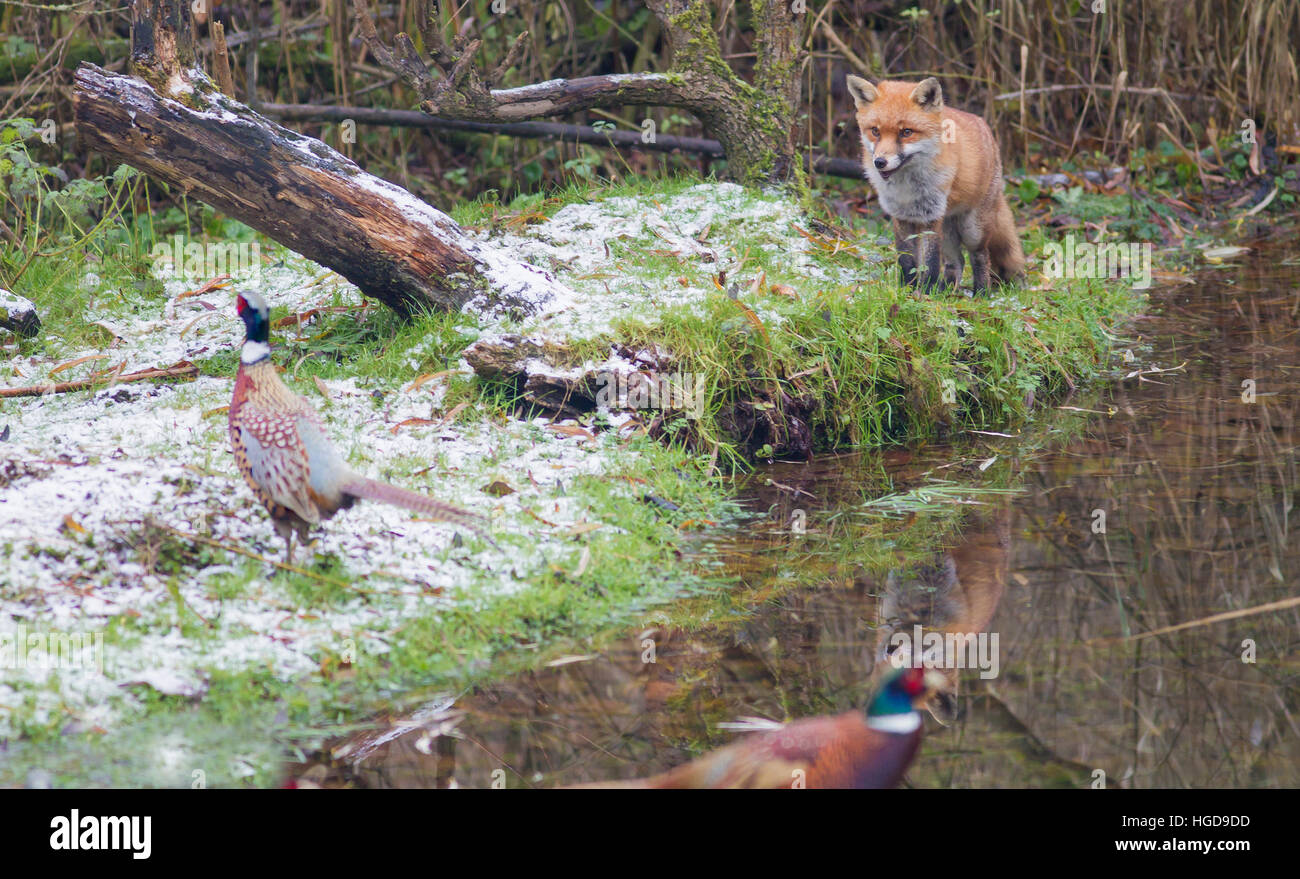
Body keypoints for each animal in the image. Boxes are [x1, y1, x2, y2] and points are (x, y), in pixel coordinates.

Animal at [846, 75, 1025, 293]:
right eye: (875, 131)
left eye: (906, 132)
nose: (880, 162)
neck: (907, 189)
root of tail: (985, 126)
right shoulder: (901, 216)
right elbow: (906, 261)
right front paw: (908, 290)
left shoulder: (930, 217)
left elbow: (930, 263)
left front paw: (925, 293)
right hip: (947, 230)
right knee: (956, 261)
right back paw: (946, 291)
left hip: (972, 229)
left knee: (980, 256)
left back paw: (981, 293)